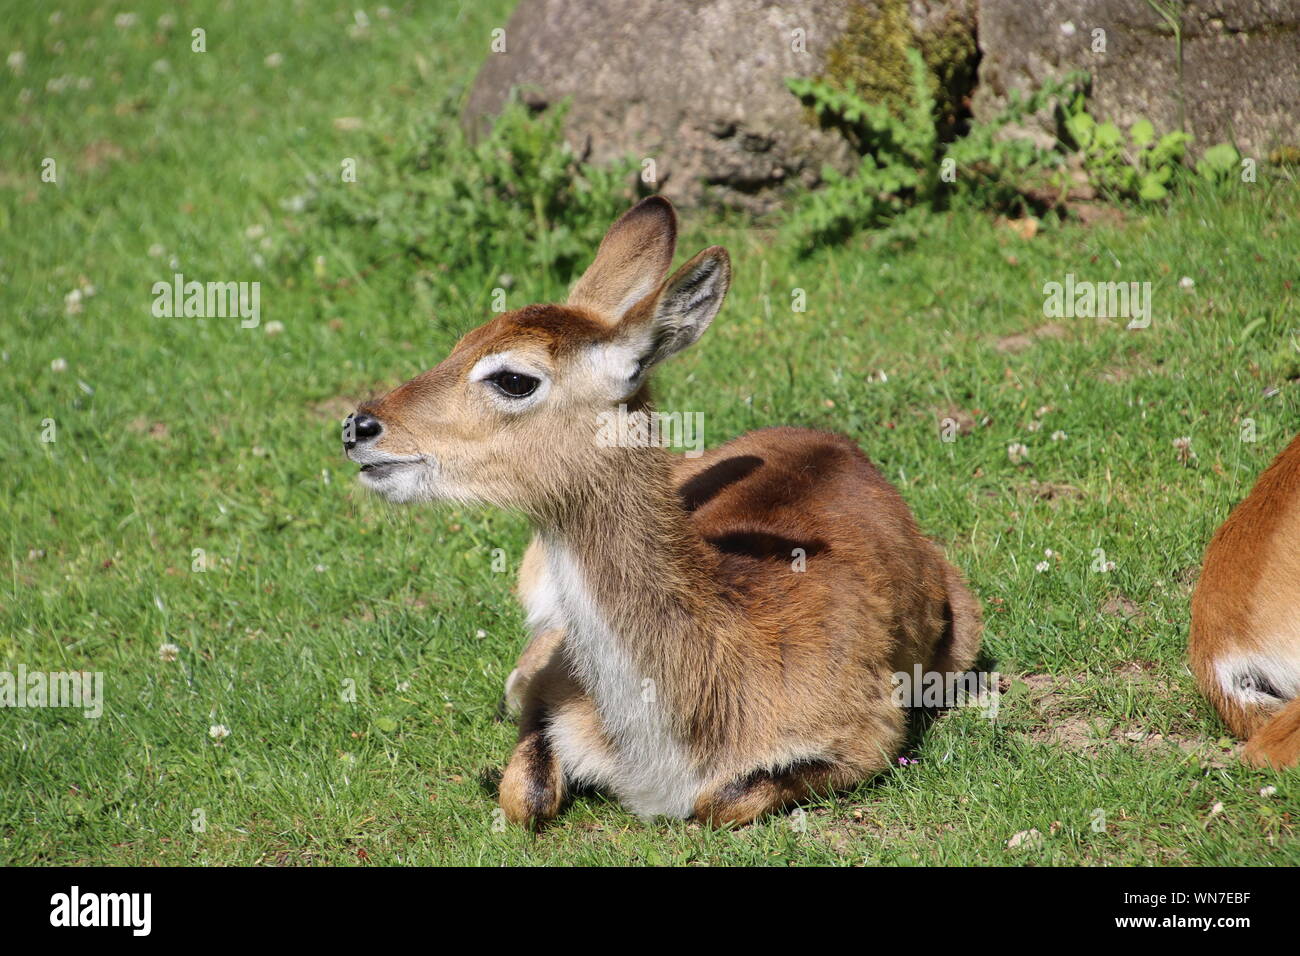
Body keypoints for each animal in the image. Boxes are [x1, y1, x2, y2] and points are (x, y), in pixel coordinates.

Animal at [343, 196, 982, 826]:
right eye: (462, 341)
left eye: (514, 378)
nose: (359, 426)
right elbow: (524, 795)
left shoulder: (870, 736)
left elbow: (718, 802)